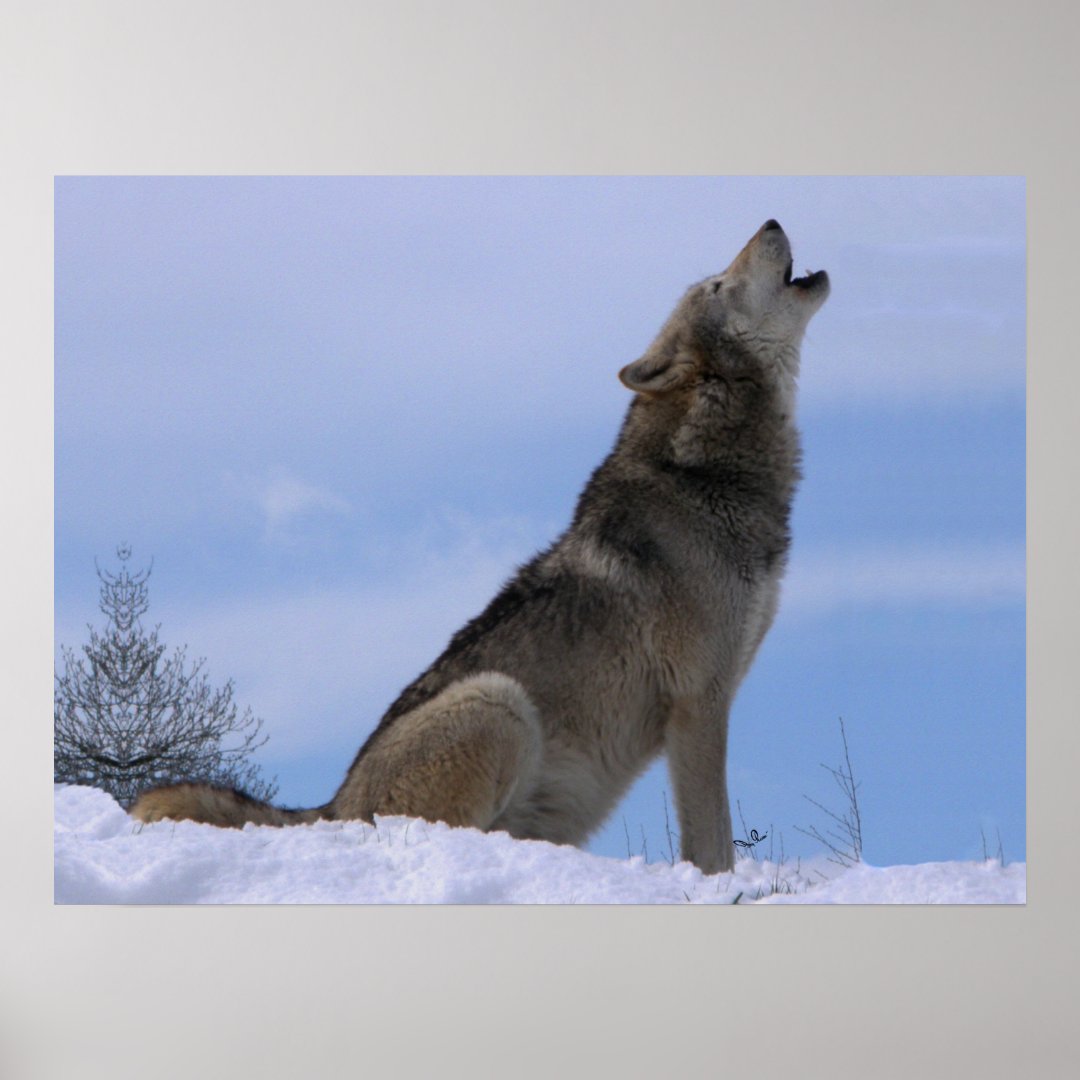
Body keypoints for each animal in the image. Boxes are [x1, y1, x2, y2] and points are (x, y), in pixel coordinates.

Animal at [130, 220, 829, 875]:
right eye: (717, 285)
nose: (771, 220)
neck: (704, 474)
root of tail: (331, 808)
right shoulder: (698, 703)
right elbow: (713, 841)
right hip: (499, 701)